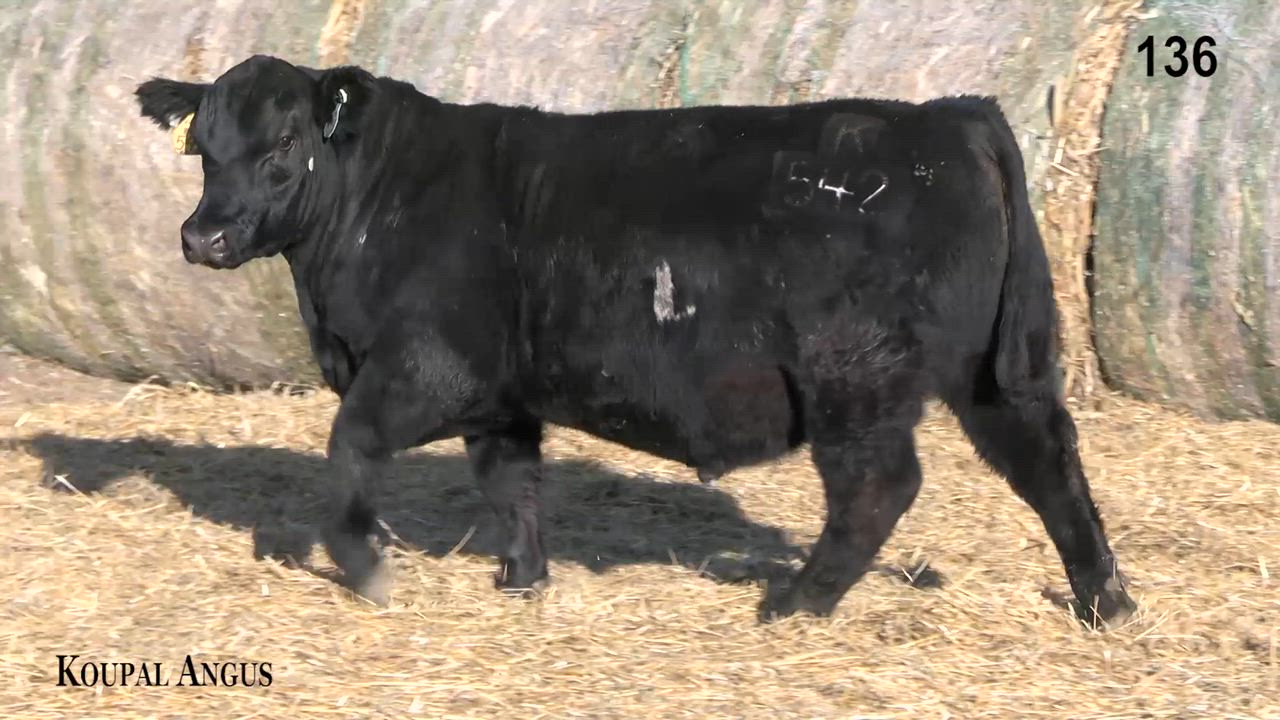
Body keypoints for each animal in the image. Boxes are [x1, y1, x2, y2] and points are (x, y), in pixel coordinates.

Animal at [134, 54, 1136, 627]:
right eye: (204, 148)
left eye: (284, 146)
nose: (203, 237)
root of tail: (947, 114)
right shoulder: (502, 397)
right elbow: (512, 484)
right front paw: (524, 581)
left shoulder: (424, 369)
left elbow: (347, 450)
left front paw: (365, 566)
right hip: (996, 375)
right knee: (1048, 465)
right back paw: (1106, 601)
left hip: (855, 380)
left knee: (878, 488)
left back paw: (795, 603)